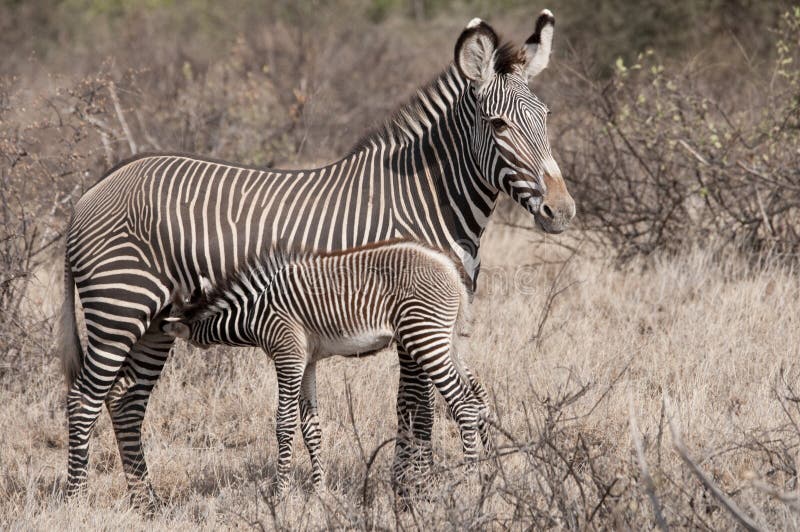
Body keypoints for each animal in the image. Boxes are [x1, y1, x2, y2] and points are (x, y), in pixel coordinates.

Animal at [159, 239, 490, 493]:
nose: (157, 326)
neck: (254, 312)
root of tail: (450, 267)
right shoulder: (306, 361)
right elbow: (311, 428)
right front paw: (319, 489)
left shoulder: (287, 354)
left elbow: (284, 423)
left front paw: (280, 491)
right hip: (446, 340)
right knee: (477, 397)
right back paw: (486, 472)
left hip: (424, 337)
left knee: (463, 405)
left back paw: (469, 480)